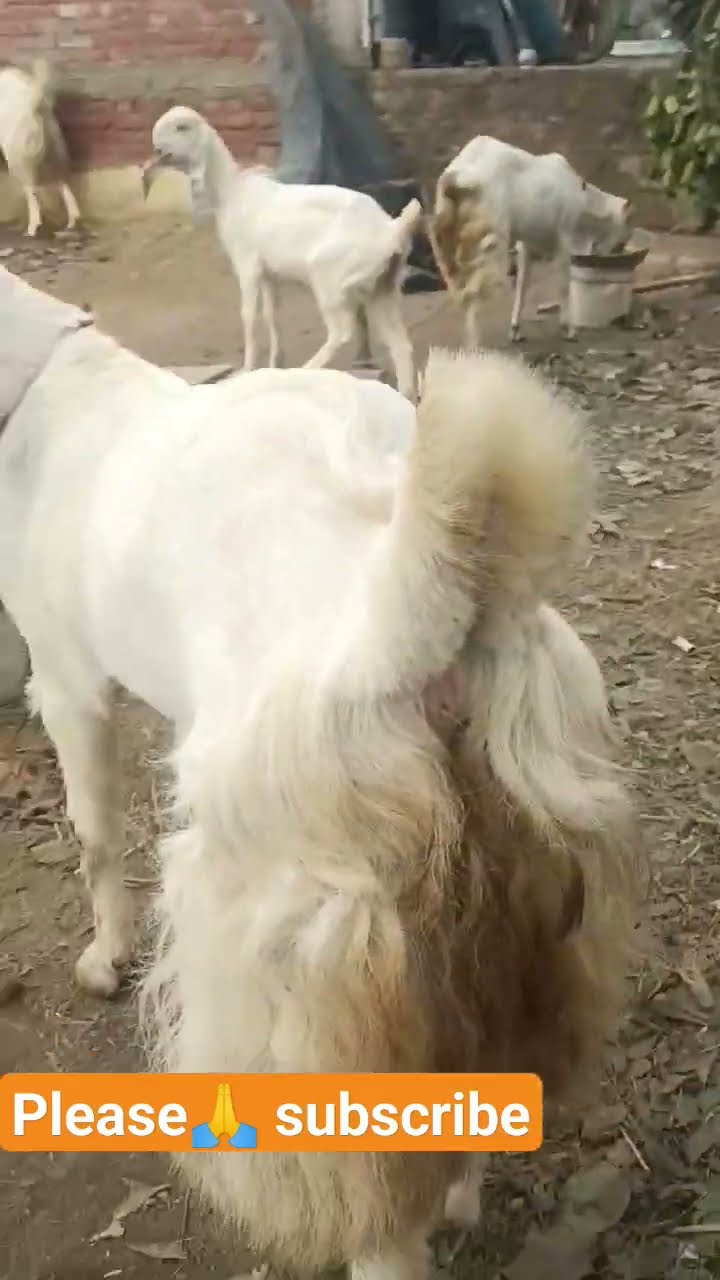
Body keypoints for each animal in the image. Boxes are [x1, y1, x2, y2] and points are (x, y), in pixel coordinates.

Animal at [0, 59, 80, 238]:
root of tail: (34, 101)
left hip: (17, 155)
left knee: (31, 191)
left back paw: (32, 229)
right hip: (55, 147)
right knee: (62, 180)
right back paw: (72, 220)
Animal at [0, 265, 637, 1280]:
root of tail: (412, 625)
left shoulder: (68, 684)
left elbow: (94, 834)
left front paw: (104, 961)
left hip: (317, 988)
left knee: (381, 1222)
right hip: (520, 916)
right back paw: (463, 1199)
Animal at [141, 106, 421, 400]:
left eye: (181, 127)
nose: (156, 151)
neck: (233, 192)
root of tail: (390, 229)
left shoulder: (248, 265)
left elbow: (248, 316)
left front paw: (248, 369)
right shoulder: (269, 274)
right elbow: (271, 316)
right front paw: (275, 364)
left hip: (330, 281)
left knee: (341, 332)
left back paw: (308, 369)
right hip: (383, 288)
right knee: (400, 344)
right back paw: (405, 396)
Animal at [430, 135, 632, 345]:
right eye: (628, 223)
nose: (620, 248)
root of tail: (456, 179)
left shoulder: (526, 244)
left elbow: (522, 284)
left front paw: (515, 330)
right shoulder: (564, 236)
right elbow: (563, 284)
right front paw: (569, 330)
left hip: (446, 246)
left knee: (461, 291)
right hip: (491, 241)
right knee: (474, 293)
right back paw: (476, 345)